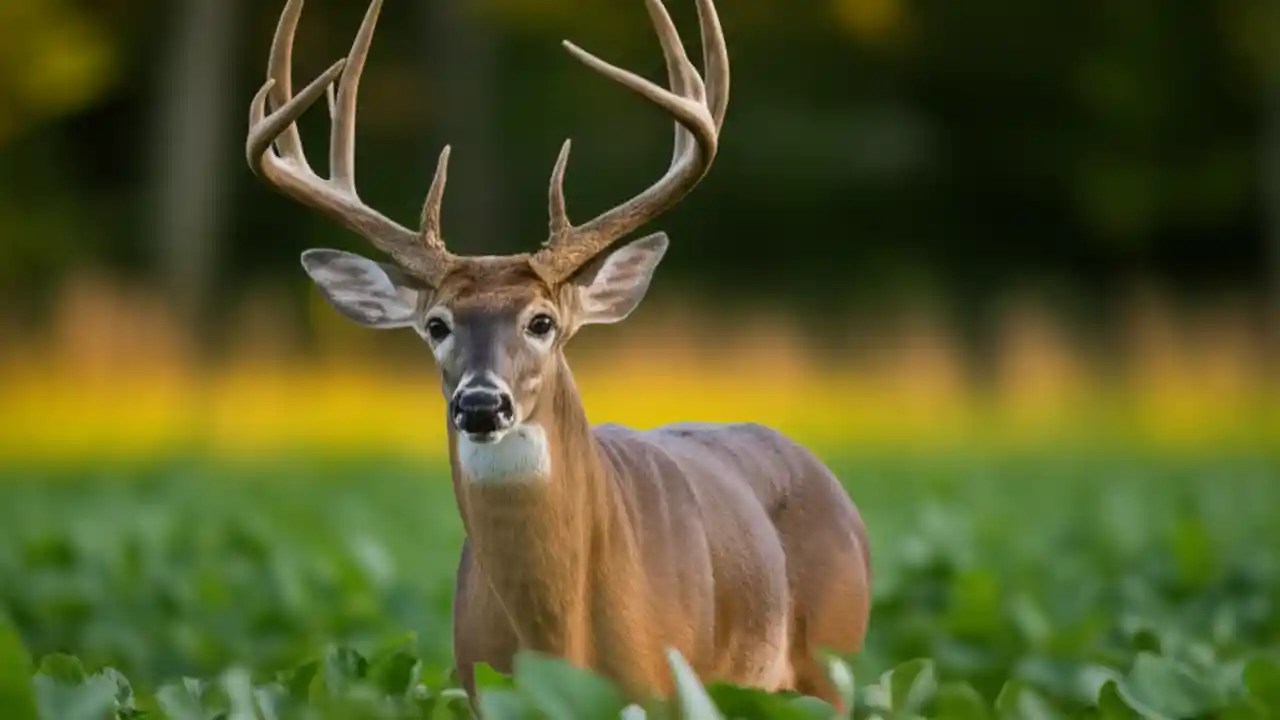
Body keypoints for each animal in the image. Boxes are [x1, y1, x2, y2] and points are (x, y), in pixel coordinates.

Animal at [246, 0, 871, 711]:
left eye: (541, 321)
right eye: (436, 325)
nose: (481, 403)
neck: (562, 638)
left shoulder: (669, 686)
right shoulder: (482, 687)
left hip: (832, 660)